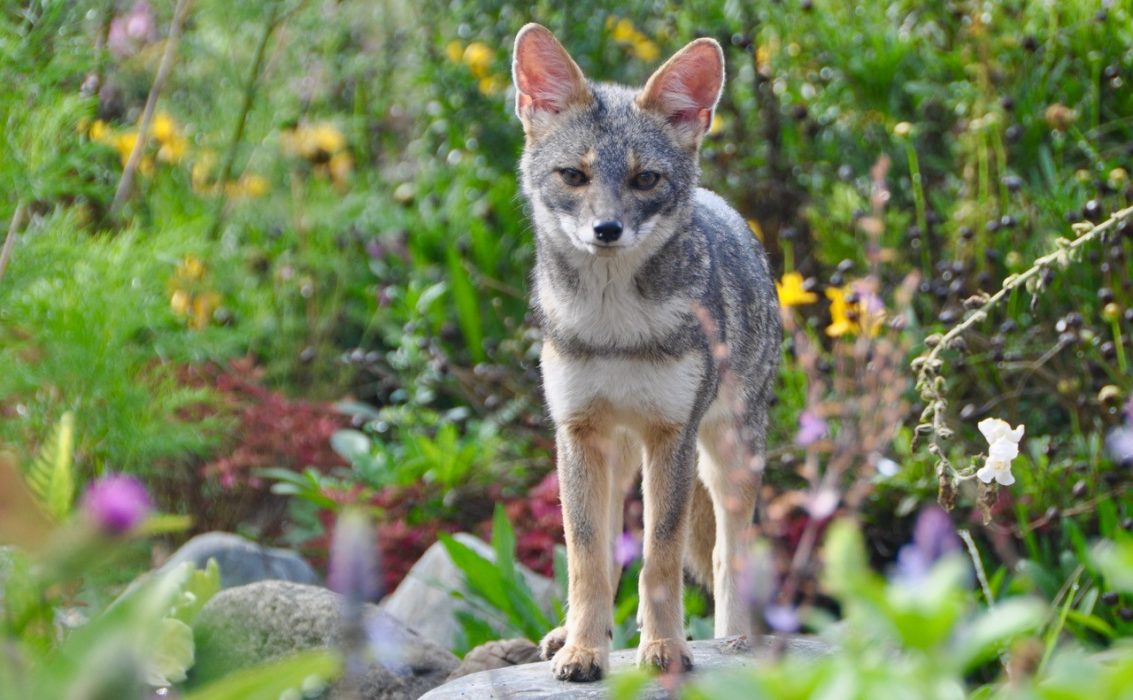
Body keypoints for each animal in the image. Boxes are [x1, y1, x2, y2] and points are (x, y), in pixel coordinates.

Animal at [511, 24, 781, 681]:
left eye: (645, 180)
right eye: (574, 176)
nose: (606, 230)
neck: (616, 332)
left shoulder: (671, 437)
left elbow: (661, 556)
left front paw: (664, 648)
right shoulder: (576, 433)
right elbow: (586, 560)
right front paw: (585, 650)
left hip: (726, 457)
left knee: (728, 553)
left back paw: (735, 639)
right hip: (615, 458)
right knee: (610, 554)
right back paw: (574, 634)